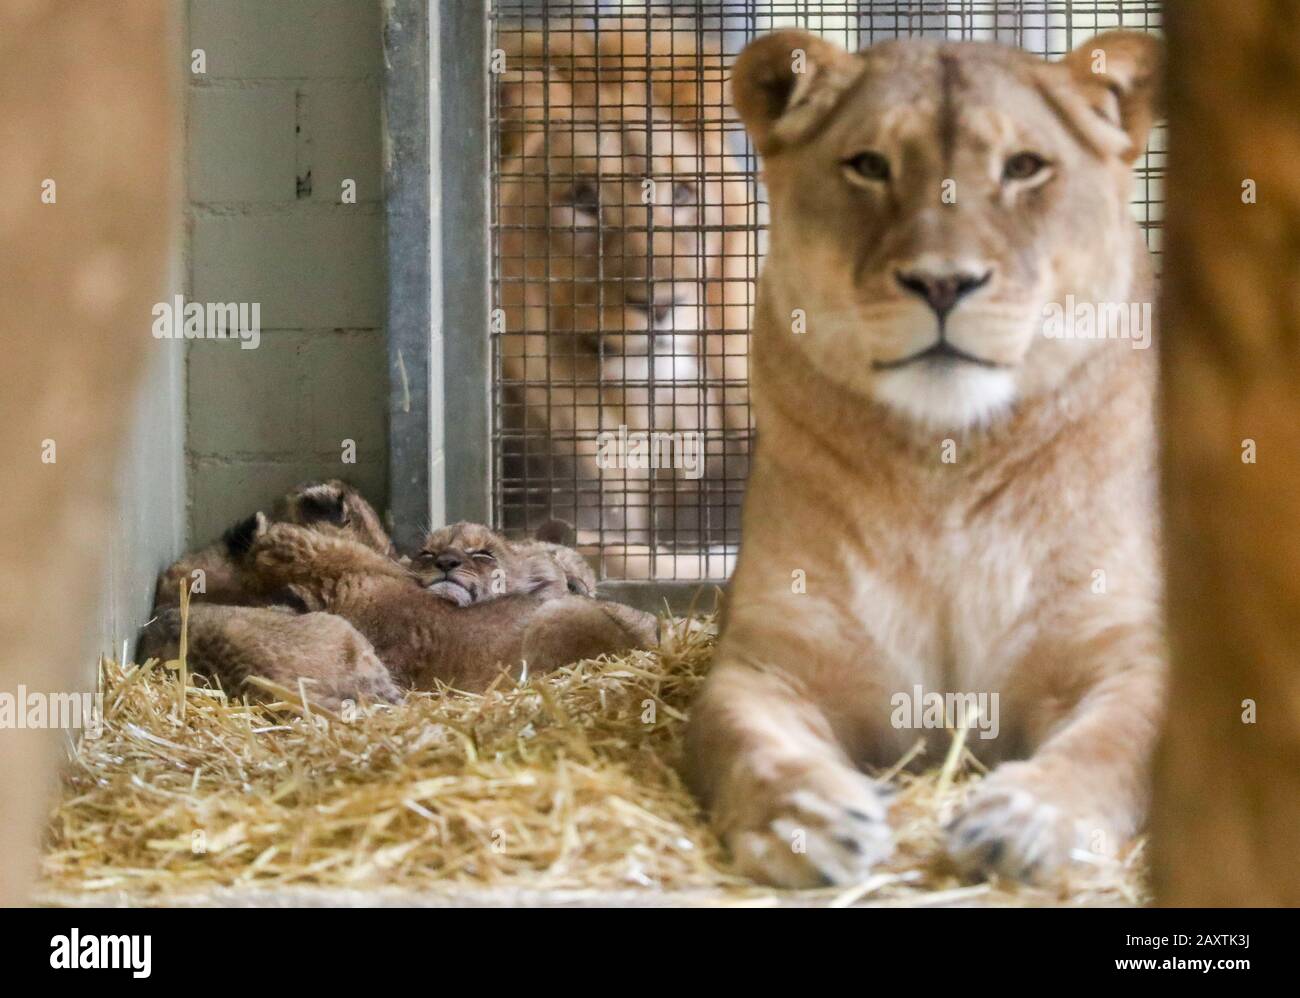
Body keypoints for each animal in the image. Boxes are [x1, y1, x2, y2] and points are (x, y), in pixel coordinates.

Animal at [684, 30, 1164, 887]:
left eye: (1023, 167)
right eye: (869, 165)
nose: (943, 283)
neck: (947, 468)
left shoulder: (1129, 655)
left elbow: (1115, 744)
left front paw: (1028, 821)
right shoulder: (769, 665)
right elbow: (746, 742)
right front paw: (808, 823)